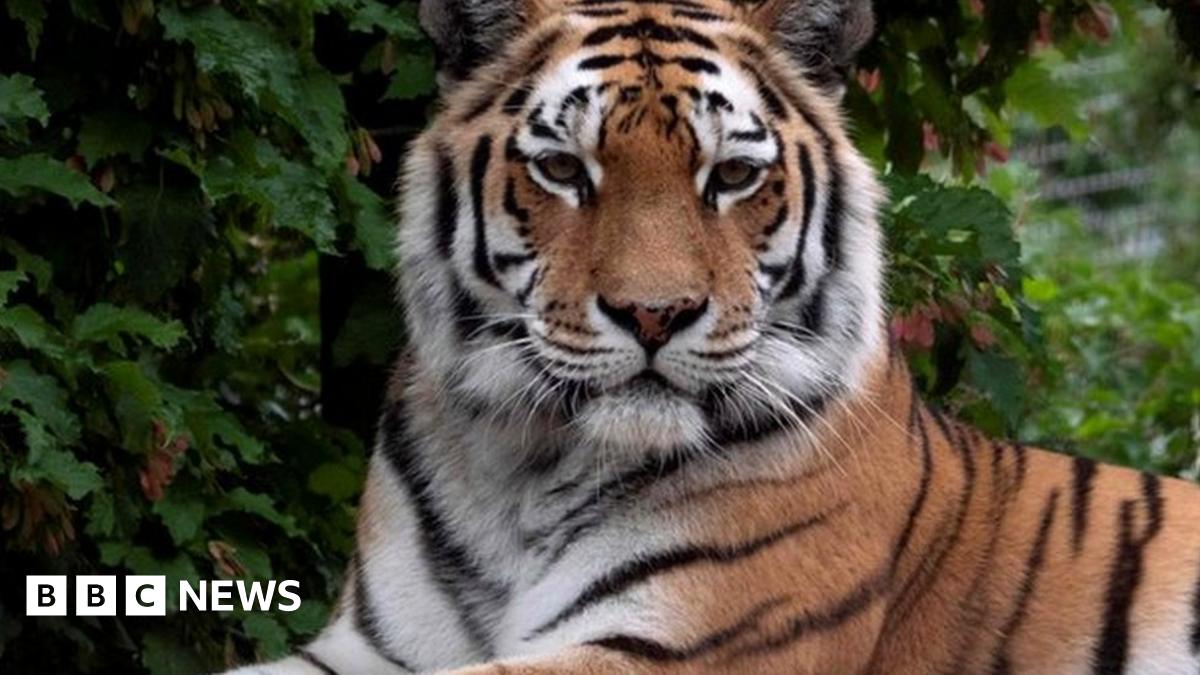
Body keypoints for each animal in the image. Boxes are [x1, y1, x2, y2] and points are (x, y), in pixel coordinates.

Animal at [224, 1, 1200, 673]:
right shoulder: (370, 645)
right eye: (563, 168)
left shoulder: (678, 645)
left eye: (731, 176)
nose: (655, 313)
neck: (520, 469)